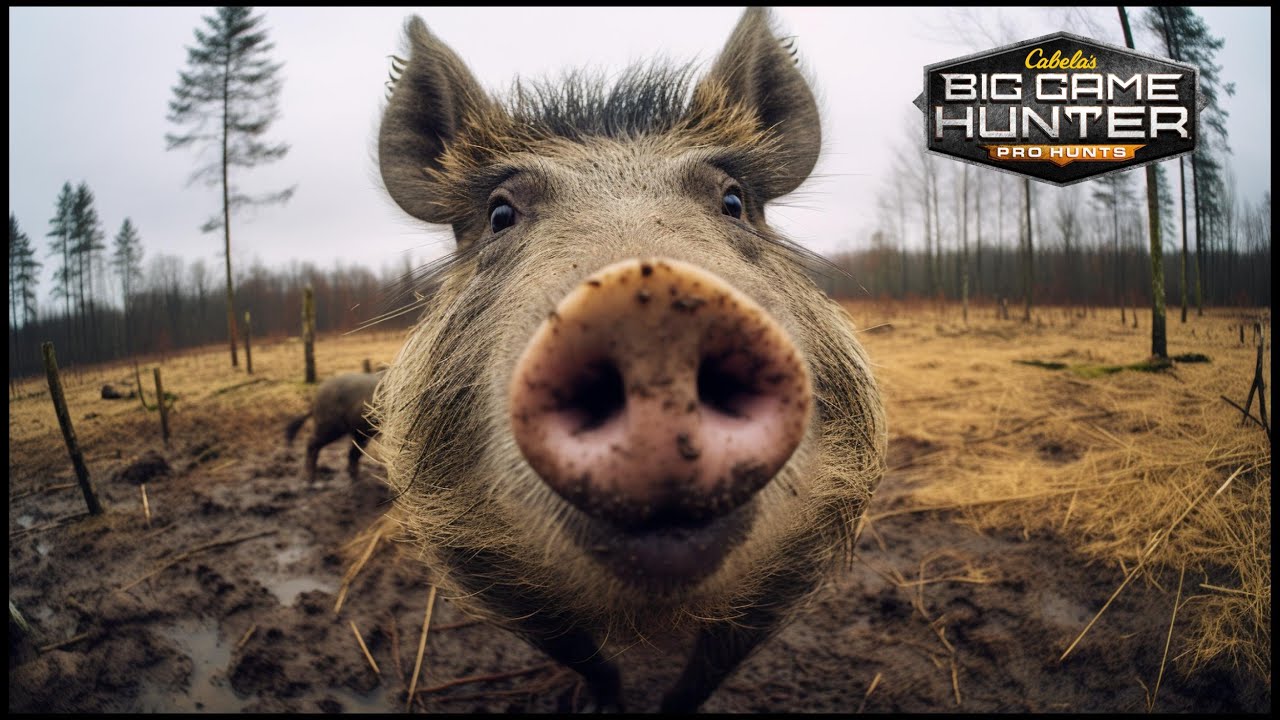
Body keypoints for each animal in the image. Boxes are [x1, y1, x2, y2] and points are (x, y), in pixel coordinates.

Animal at [372, 7, 886, 712]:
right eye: (500, 213)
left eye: (734, 201)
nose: (651, 301)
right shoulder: (481, 566)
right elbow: (589, 660)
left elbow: (703, 673)